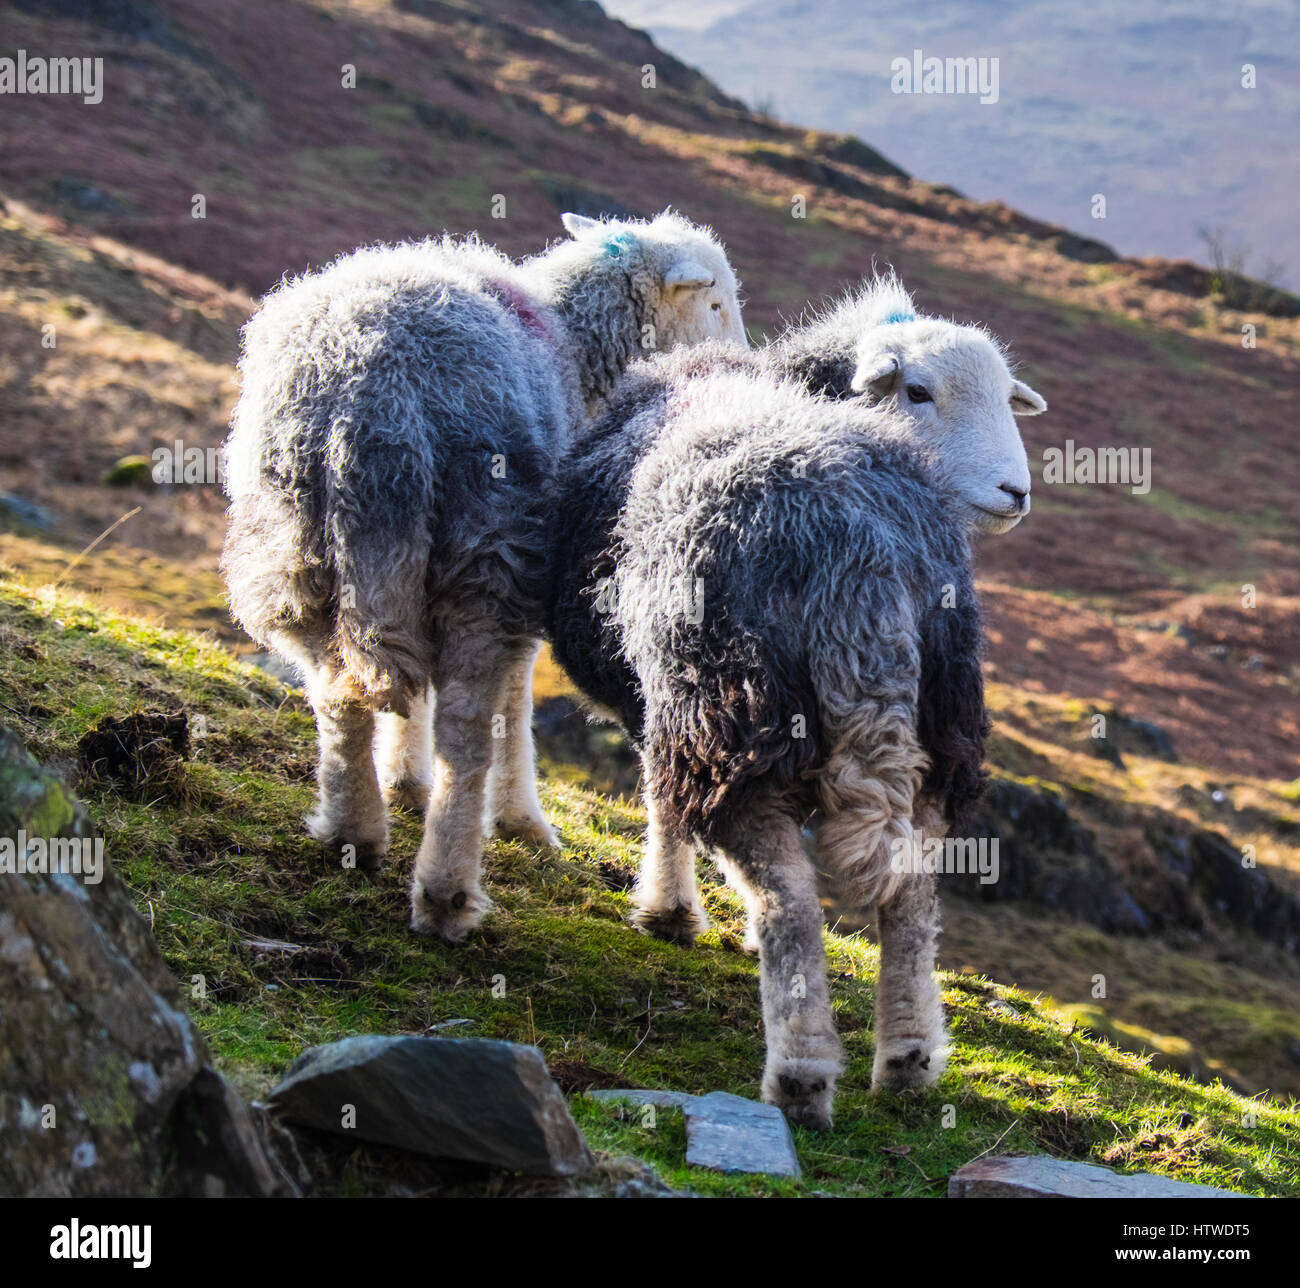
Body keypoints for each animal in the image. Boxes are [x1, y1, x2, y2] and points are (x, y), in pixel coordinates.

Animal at [221, 211, 745, 942]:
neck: (575, 352)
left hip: (295, 545)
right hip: (483, 552)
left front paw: (405, 781)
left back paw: (351, 830)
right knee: (466, 729)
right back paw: (447, 891)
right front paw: (520, 819)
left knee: (337, 692)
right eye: (717, 304)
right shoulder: (528, 577)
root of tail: (365, 387)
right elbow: (514, 702)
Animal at [547, 300, 1045, 1127]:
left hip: (729, 703)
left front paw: (669, 913)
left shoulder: (660, 693)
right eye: (918, 390)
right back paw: (907, 1057)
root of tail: (858, 549)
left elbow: (658, 798)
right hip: (942, 713)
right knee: (910, 891)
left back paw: (800, 1072)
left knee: (788, 893)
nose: (1016, 492)